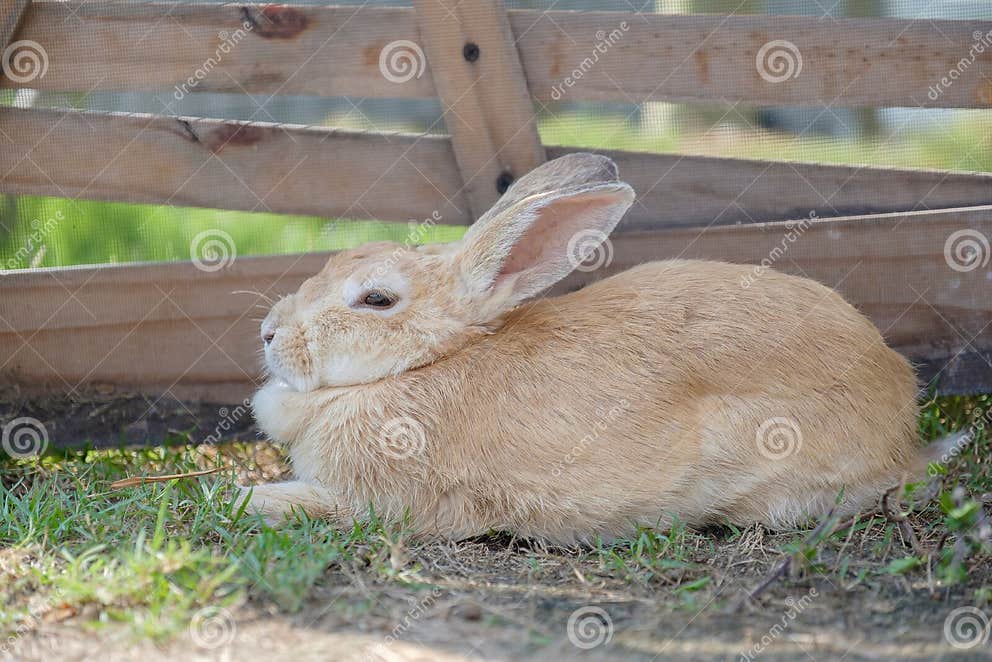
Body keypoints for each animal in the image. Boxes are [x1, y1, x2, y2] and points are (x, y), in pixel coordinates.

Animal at [241, 152, 934, 544]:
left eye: (377, 299)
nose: (270, 332)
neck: (431, 362)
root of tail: (901, 418)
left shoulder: (395, 504)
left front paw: (256, 499)